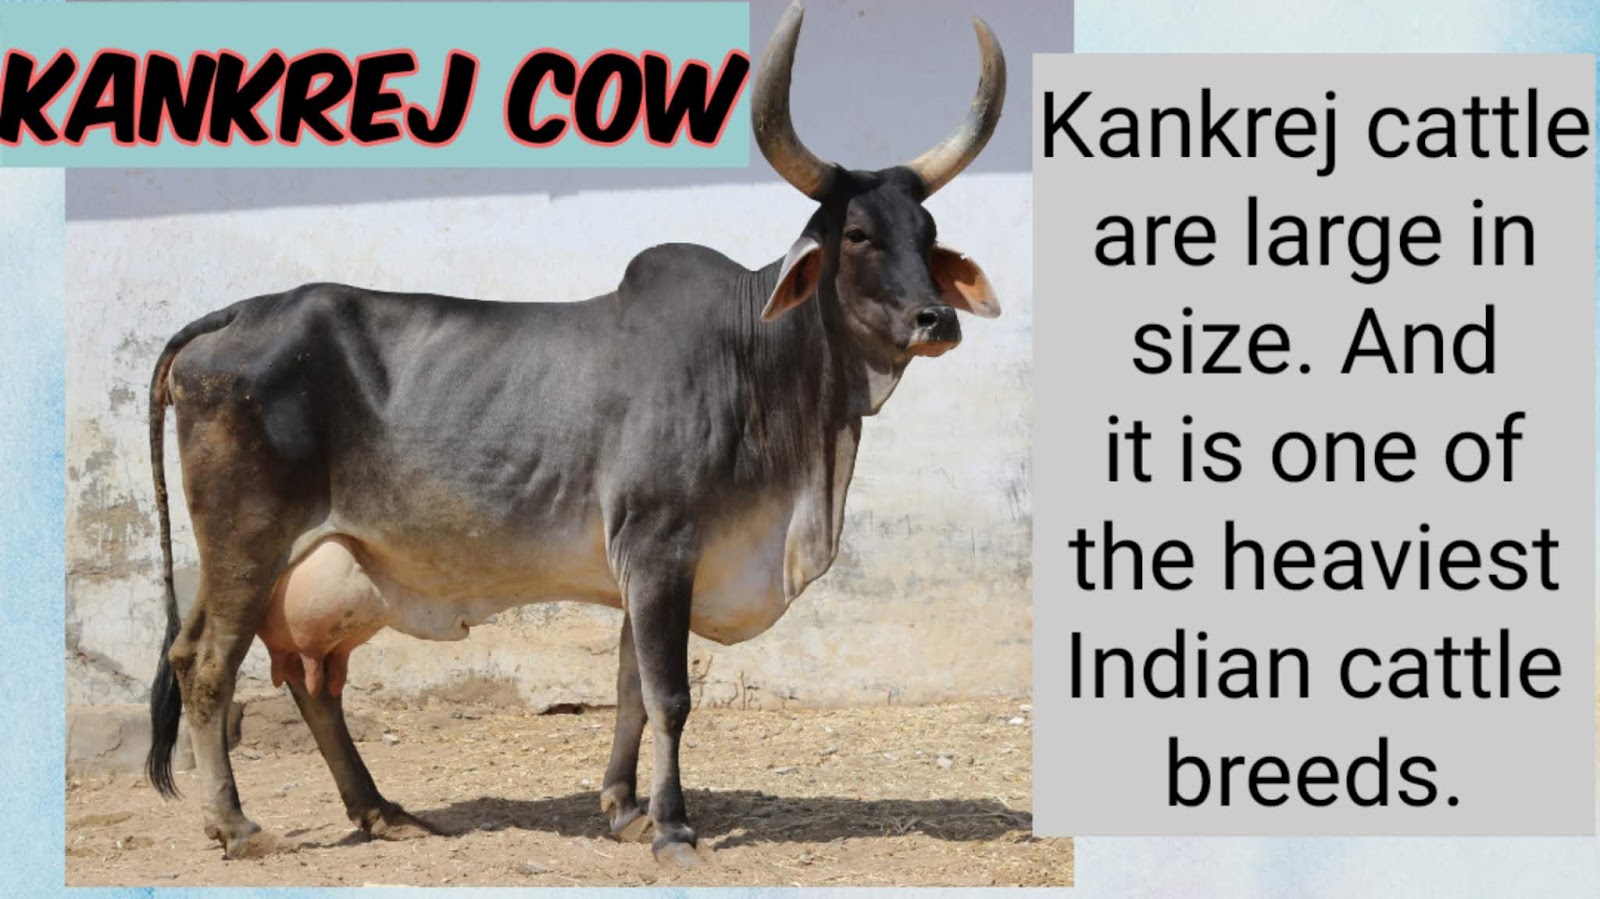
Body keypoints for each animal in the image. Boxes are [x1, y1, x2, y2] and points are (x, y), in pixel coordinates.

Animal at [143, 2, 1005, 867]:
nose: (936, 318)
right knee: (209, 664)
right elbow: (669, 693)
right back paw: (238, 823)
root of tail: (237, 313)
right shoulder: (659, 547)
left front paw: (624, 808)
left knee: (300, 675)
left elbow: (629, 687)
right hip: (247, 542)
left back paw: (380, 808)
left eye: (928, 232)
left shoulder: (648, 565)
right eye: (856, 234)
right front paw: (674, 827)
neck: (761, 369)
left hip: (294, 563)